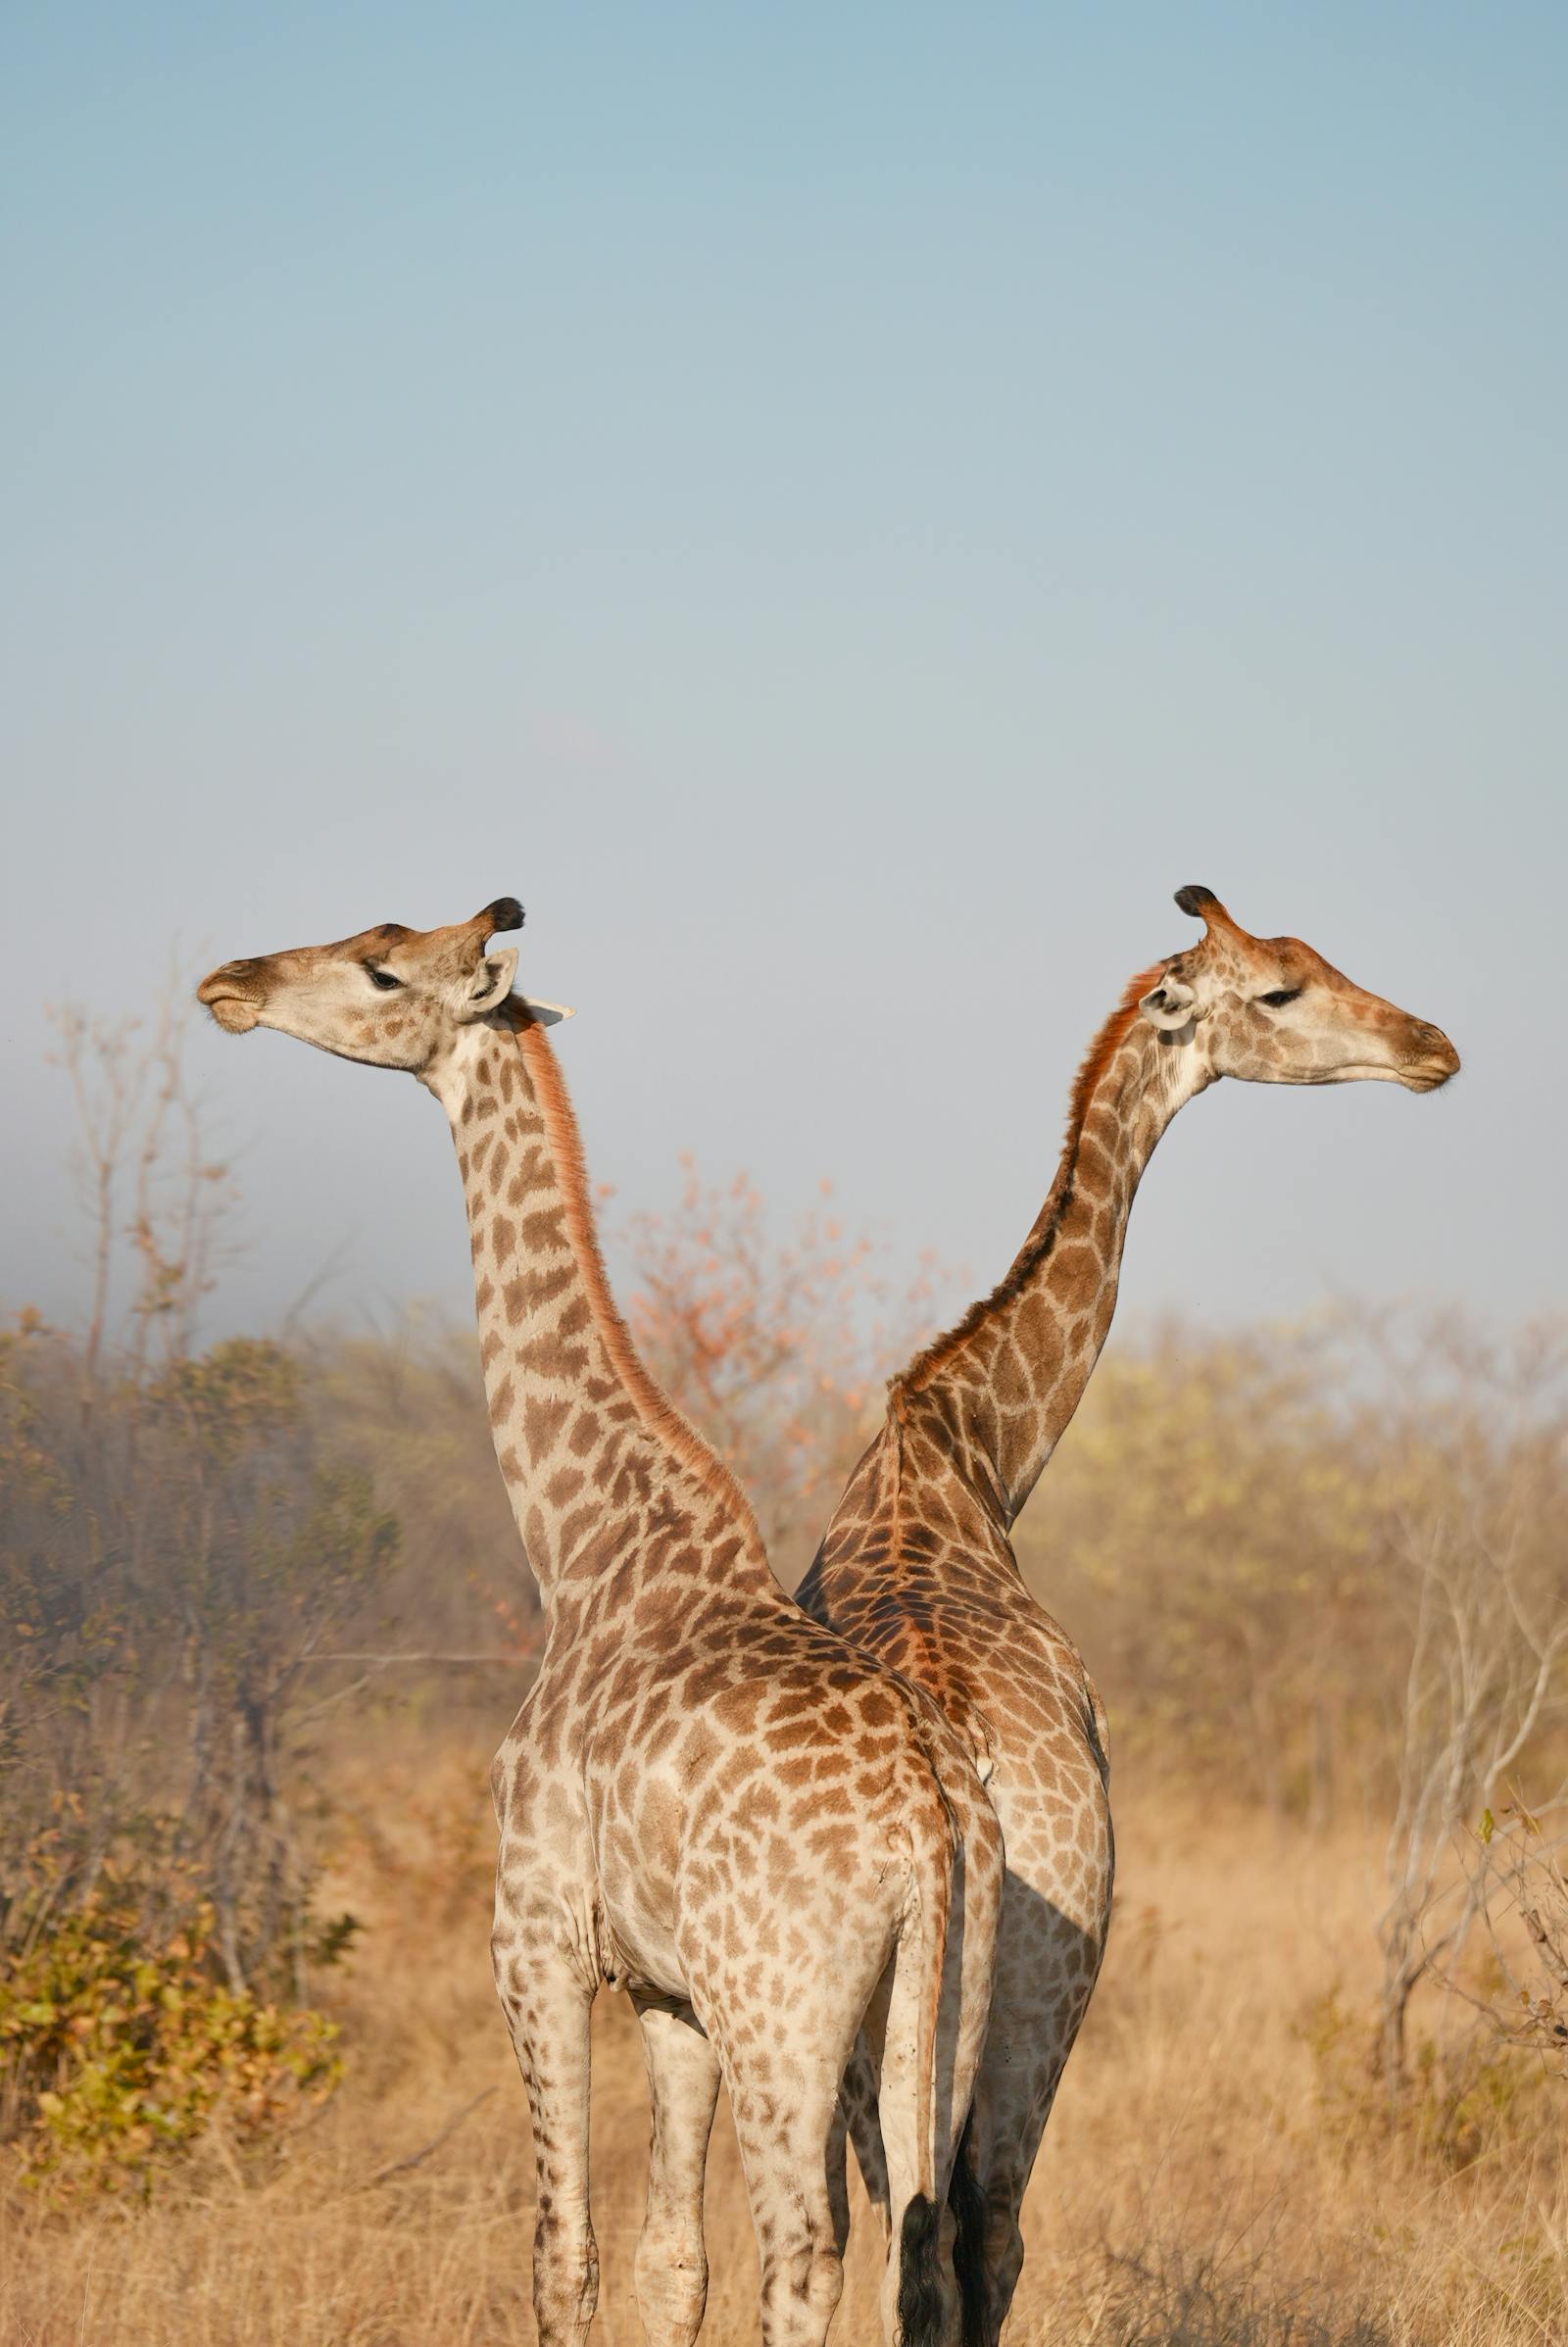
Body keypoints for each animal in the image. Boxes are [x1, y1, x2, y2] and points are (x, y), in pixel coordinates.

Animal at [197, 898, 1004, 2347]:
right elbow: (668, 2256)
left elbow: (559, 2245)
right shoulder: (667, 1988)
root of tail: (932, 1823)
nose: (230, 983)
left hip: (784, 2004)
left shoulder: (534, 1934)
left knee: (806, 2246)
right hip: (939, 2000)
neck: (579, 1548)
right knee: (924, 2246)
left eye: (380, 968)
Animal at [798, 884, 1459, 2344]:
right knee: (974, 2234)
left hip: (936, 2002)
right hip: (1039, 1985)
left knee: (923, 2237)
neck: (966, 1446)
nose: (1432, 1046)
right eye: (1278, 989)